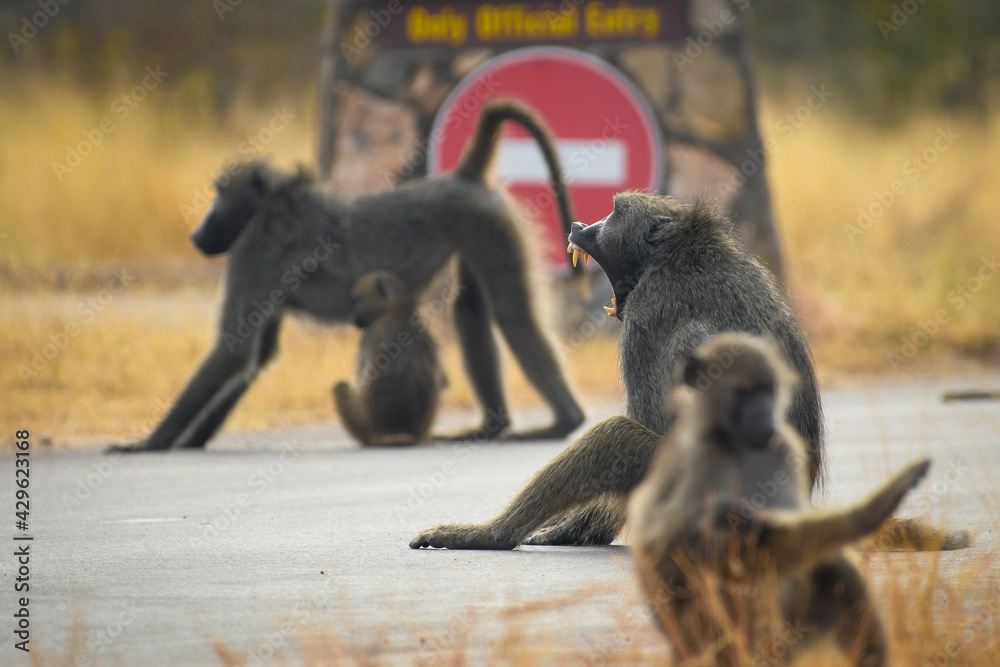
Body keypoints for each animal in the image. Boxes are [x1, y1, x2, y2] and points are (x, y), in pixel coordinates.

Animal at [332, 271, 446, 446]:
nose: (351, 316)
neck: (395, 309)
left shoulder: (369, 336)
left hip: (366, 427)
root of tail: (398, 431)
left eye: (358, 300)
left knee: (340, 386)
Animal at [409, 194, 968, 551]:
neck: (682, 252)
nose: (577, 227)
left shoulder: (648, 314)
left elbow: (649, 421)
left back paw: (489, 537)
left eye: (614, 212)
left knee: (614, 436)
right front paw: (573, 530)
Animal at [628, 334, 931, 665]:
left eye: (767, 388)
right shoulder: (696, 455)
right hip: (700, 636)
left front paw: (870, 511)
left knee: (820, 563)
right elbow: (656, 540)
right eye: (745, 391)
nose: (765, 419)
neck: (734, 444)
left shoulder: (784, 448)